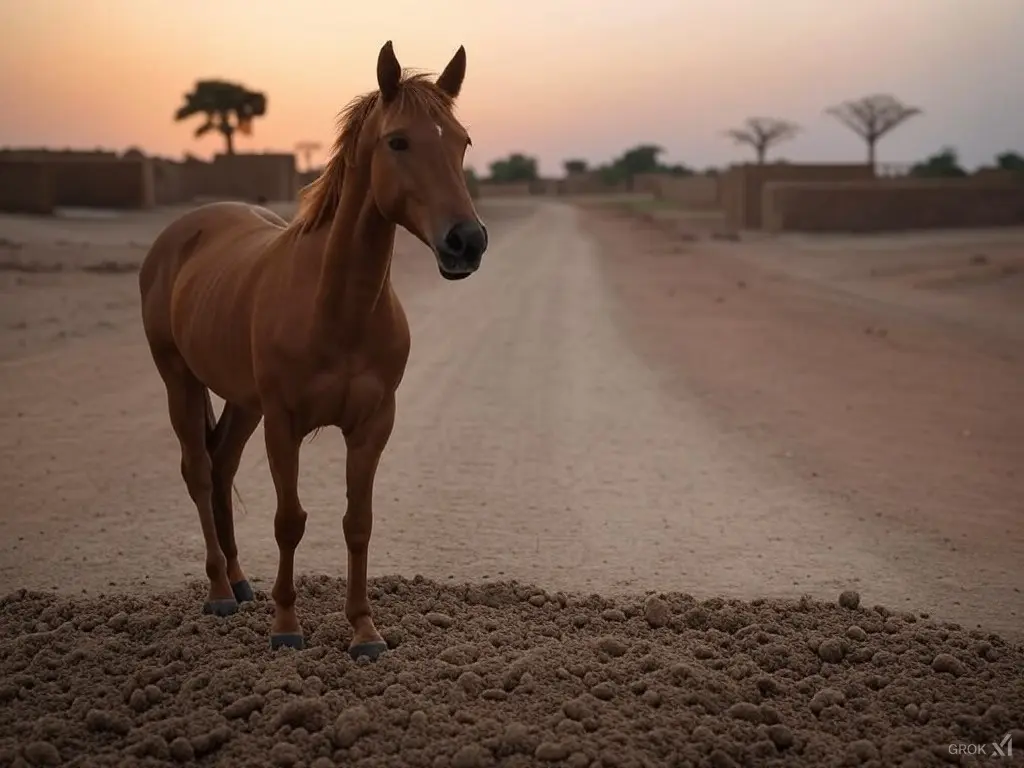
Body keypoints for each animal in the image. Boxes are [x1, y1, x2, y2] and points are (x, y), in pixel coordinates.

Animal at [138, 41, 487, 659]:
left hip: (243, 402)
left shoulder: (373, 424)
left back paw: (241, 582)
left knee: (222, 466)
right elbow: (290, 520)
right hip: (178, 378)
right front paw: (285, 628)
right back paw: (220, 593)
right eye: (398, 141)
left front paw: (365, 632)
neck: (337, 309)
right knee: (199, 472)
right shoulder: (285, 424)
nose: (466, 242)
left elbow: (358, 522)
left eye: (462, 141)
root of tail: (182, 231)